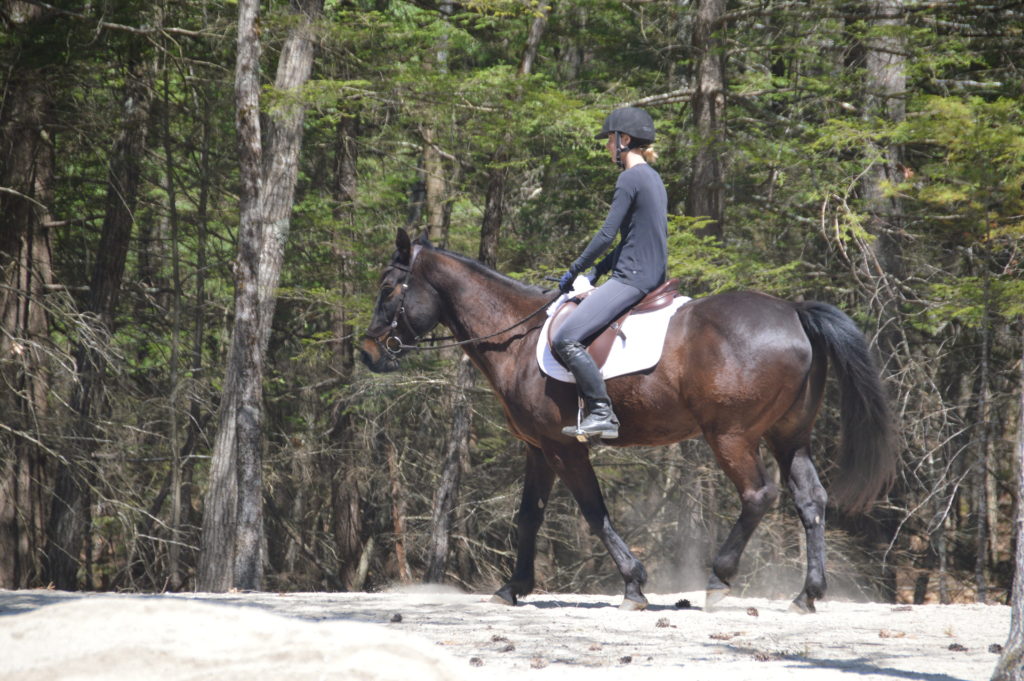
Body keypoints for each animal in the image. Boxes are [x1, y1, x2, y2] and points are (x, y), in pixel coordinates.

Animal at [360, 228, 896, 613]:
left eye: (388, 288)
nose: (367, 353)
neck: (517, 338)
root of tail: (794, 312)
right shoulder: (539, 448)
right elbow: (529, 515)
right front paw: (513, 587)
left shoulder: (565, 447)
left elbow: (594, 510)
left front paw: (634, 585)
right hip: (790, 436)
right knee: (811, 501)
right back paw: (807, 594)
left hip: (732, 435)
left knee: (758, 494)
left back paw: (718, 578)